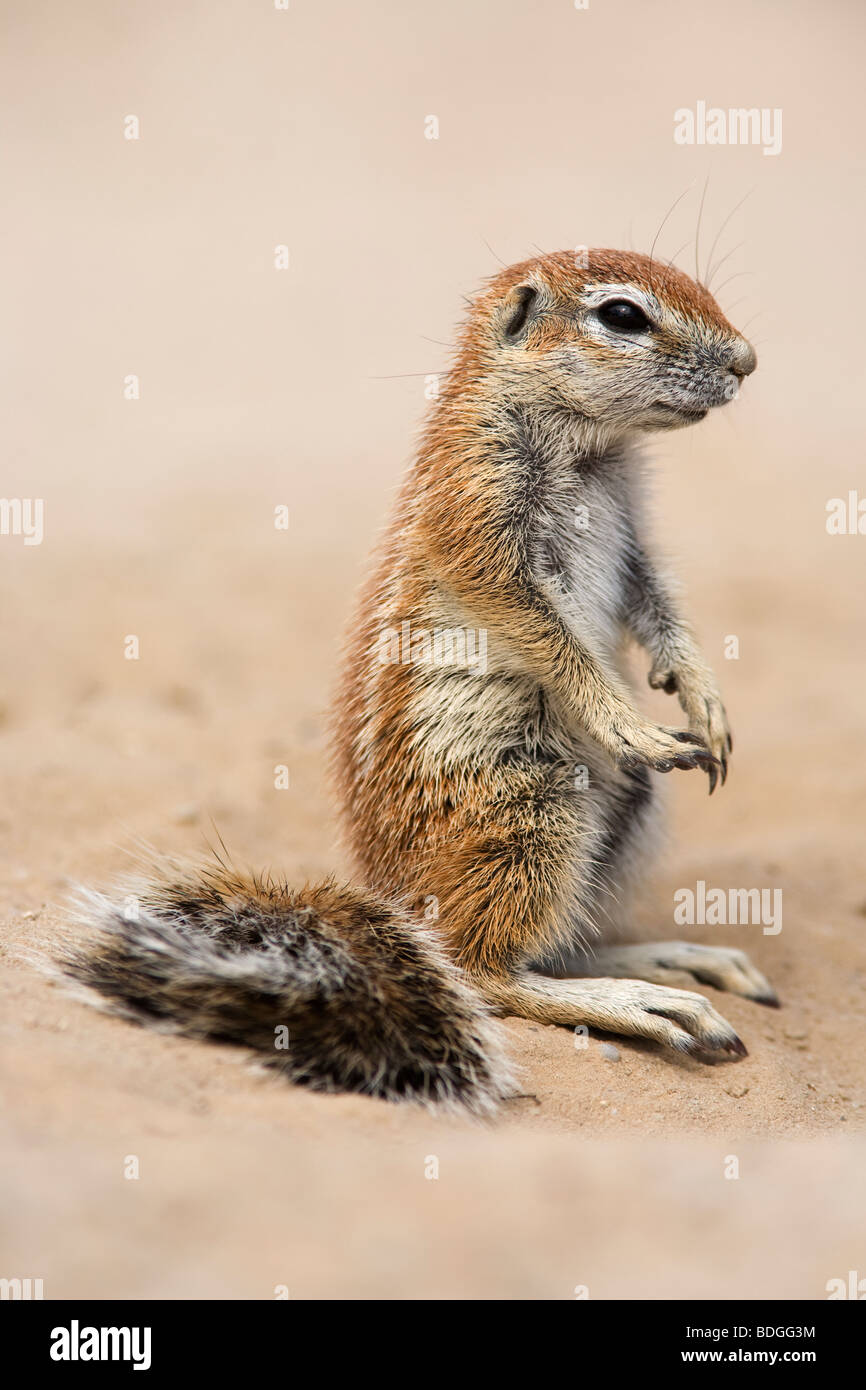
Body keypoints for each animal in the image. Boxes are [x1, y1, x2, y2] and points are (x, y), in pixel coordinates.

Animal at [64, 248, 778, 1115]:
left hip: (628, 811)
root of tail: (397, 900)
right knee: (486, 971)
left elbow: (659, 604)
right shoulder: (477, 514)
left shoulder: (637, 536)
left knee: (549, 947)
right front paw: (624, 717)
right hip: (530, 808)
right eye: (623, 316)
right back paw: (642, 1002)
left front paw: (705, 699)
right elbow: (548, 635)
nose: (746, 360)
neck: (591, 451)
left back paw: (670, 959)